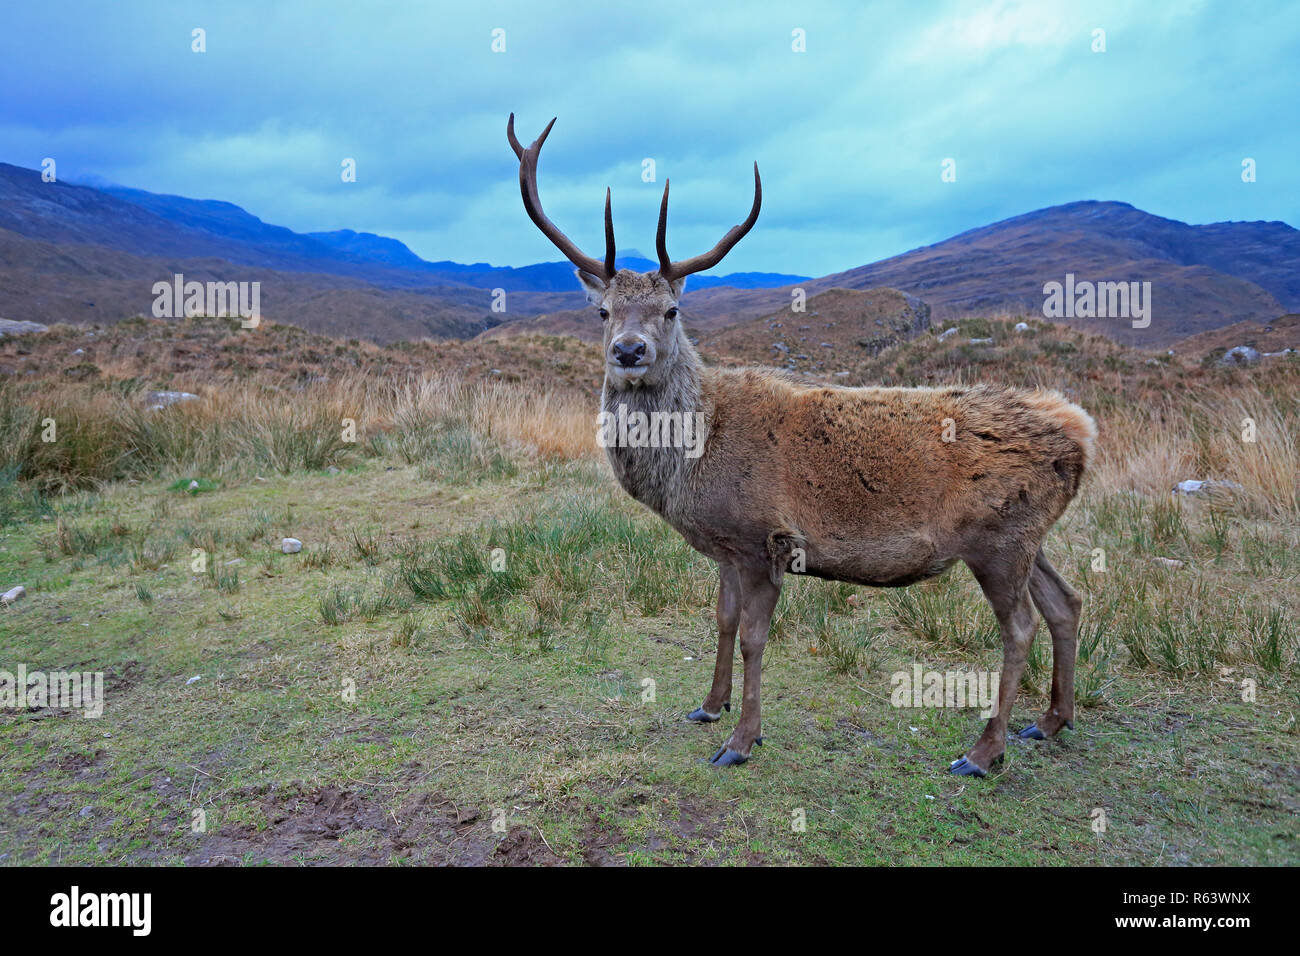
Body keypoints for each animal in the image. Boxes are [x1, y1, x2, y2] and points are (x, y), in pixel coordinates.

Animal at [507, 115, 1097, 776]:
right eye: (603, 310)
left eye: (672, 309)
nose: (629, 351)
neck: (691, 461)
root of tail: (1082, 432)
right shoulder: (725, 546)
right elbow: (722, 621)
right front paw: (707, 706)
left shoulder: (765, 537)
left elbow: (754, 639)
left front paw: (741, 740)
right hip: (1026, 537)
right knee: (1067, 602)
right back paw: (1050, 721)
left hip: (998, 539)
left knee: (1020, 627)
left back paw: (983, 750)